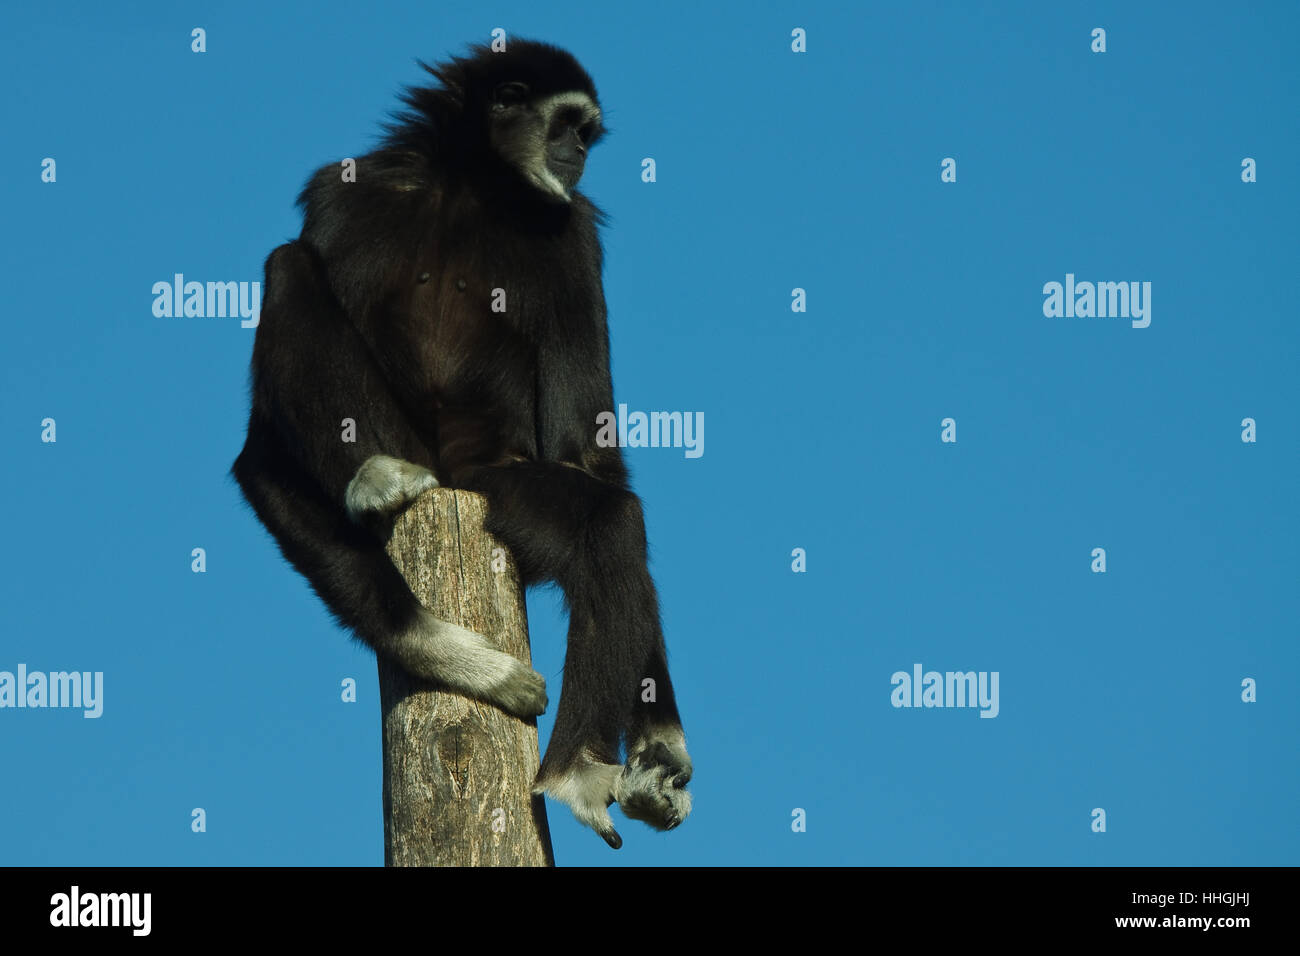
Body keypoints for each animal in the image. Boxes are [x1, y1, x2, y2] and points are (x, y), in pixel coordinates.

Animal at [231, 40, 691, 849]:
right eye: (569, 126)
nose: (577, 155)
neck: (470, 188)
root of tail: (451, 475)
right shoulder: (344, 195)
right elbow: (260, 458)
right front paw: (447, 655)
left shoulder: (573, 234)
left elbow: (590, 458)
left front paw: (661, 742)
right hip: (404, 438)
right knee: (288, 266)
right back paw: (375, 478)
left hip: (498, 483)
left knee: (607, 518)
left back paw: (571, 771)